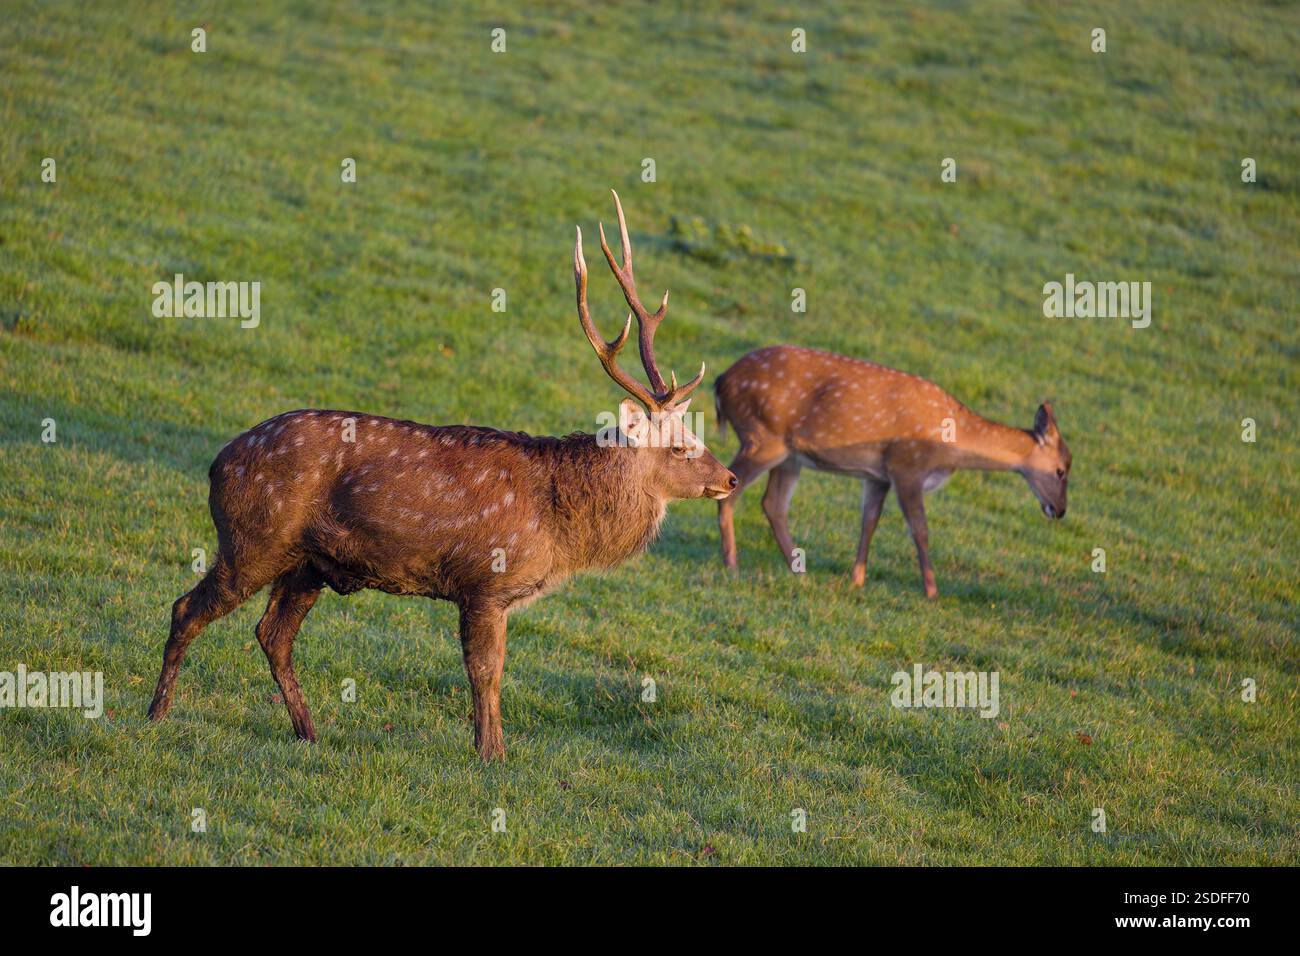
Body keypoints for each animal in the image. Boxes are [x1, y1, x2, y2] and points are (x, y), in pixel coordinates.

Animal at [147, 192, 737, 761]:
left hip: (307, 562)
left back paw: (308, 733)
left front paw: (489, 750)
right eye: (682, 446)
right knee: (187, 608)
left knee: (272, 634)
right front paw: (492, 756)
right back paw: (157, 713)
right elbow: (486, 675)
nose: (730, 479)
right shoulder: (486, 582)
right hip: (253, 538)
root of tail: (218, 462)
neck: (559, 527)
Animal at [714, 345, 1071, 598]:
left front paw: (857, 579)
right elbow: (920, 529)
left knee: (773, 504)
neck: (950, 446)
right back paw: (732, 564)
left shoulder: (878, 476)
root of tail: (721, 383)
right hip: (764, 435)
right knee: (732, 492)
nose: (1060, 510)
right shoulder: (907, 465)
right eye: (1060, 470)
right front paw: (932, 591)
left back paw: (799, 570)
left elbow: (869, 522)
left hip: (791, 455)